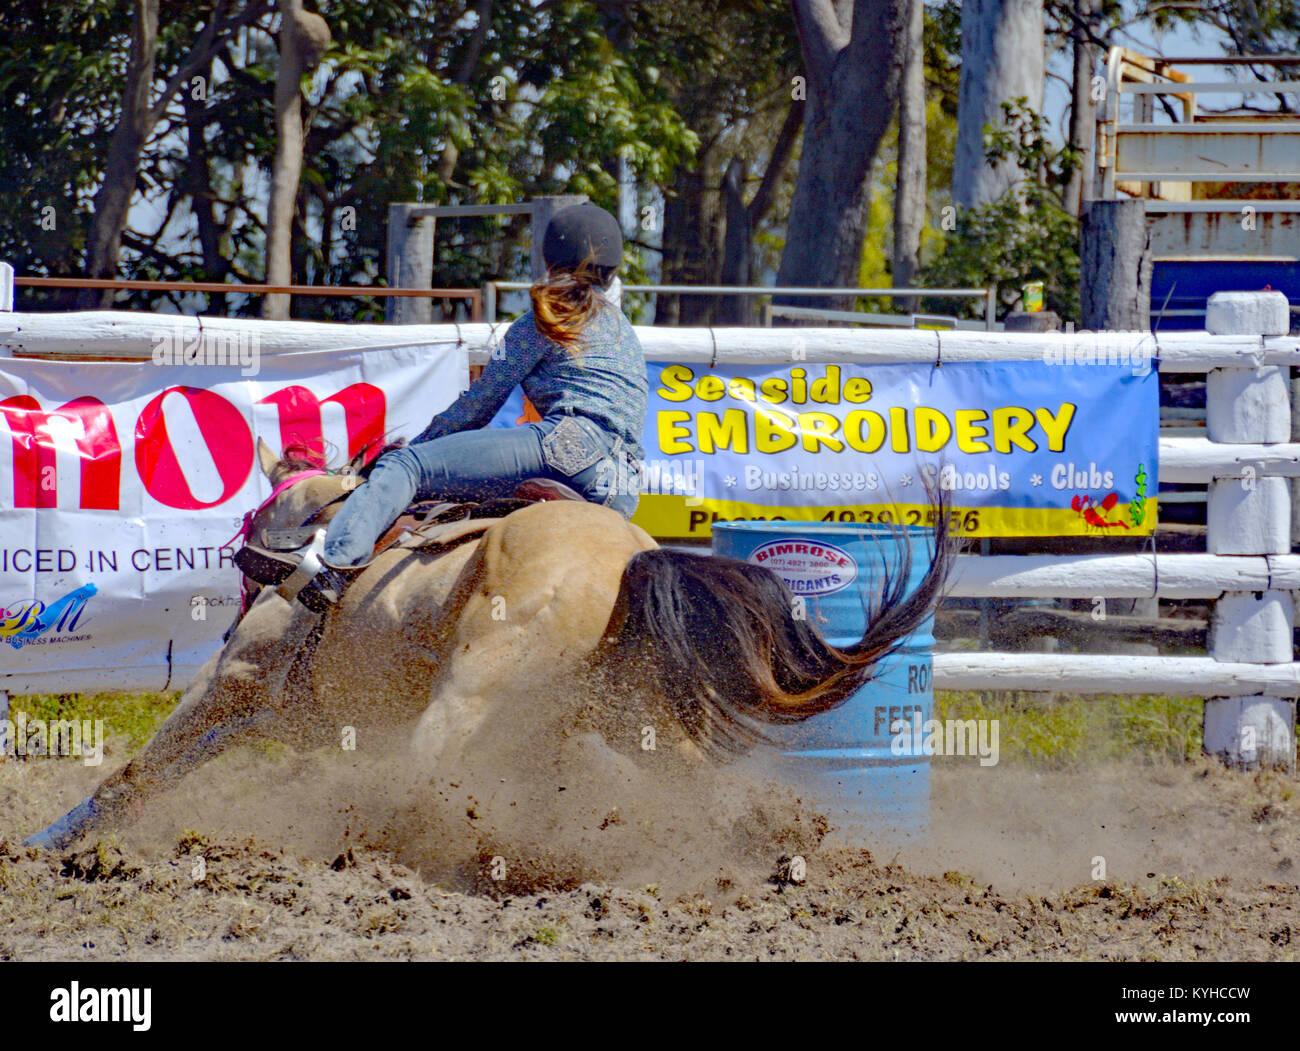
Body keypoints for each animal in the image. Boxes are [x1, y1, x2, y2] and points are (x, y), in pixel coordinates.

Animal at [25, 439, 950, 851]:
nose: (246, 592)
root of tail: (630, 555)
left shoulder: (233, 679)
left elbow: (140, 766)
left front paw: (42, 843)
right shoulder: (274, 714)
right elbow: (162, 774)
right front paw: (54, 839)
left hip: (469, 693)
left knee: (425, 773)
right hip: (632, 719)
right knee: (699, 782)